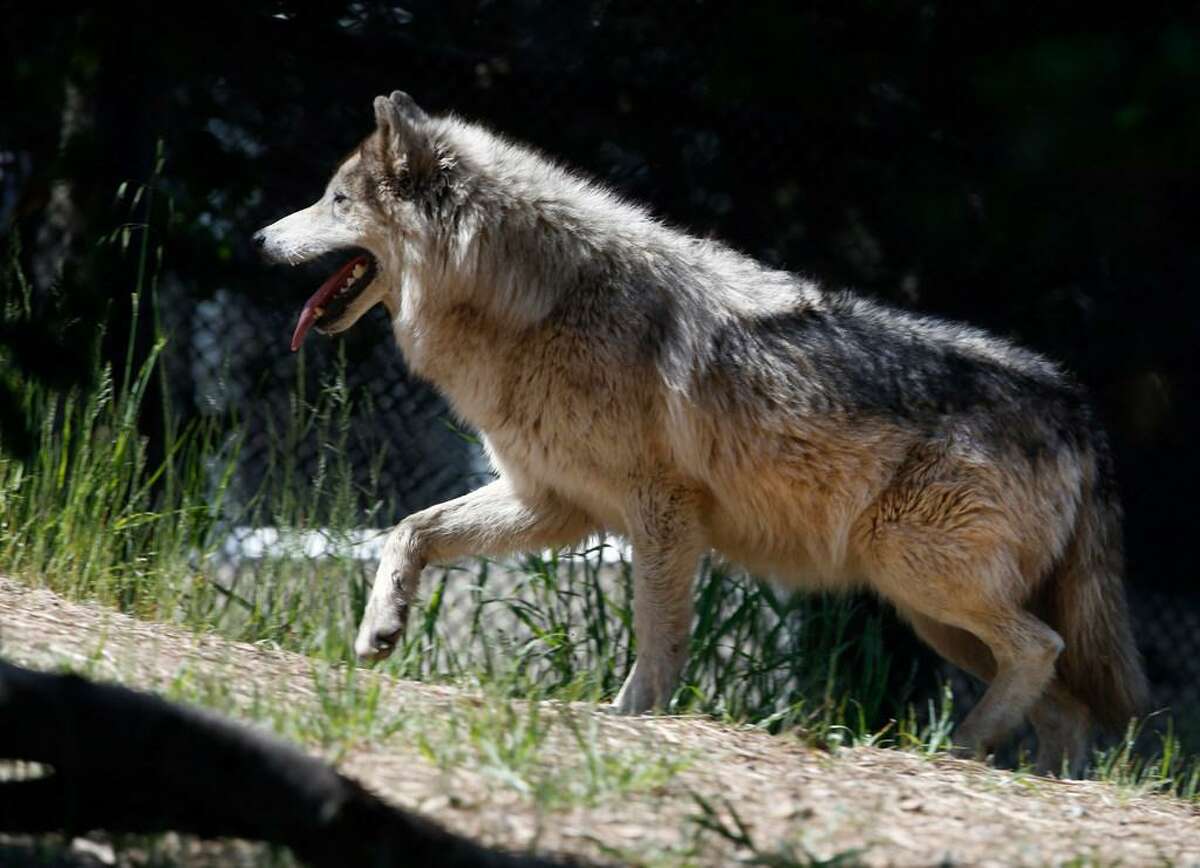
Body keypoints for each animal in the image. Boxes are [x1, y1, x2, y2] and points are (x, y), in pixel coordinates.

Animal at [254, 91, 1148, 776]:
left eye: (335, 201)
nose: (260, 240)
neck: (541, 303)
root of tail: (1075, 403)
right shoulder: (552, 503)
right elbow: (409, 529)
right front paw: (380, 627)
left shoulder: (663, 514)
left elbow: (658, 639)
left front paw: (627, 720)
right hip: (934, 613)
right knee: (1064, 694)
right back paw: (1040, 780)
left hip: (920, 580)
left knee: (1041, 651)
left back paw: (963, 749)